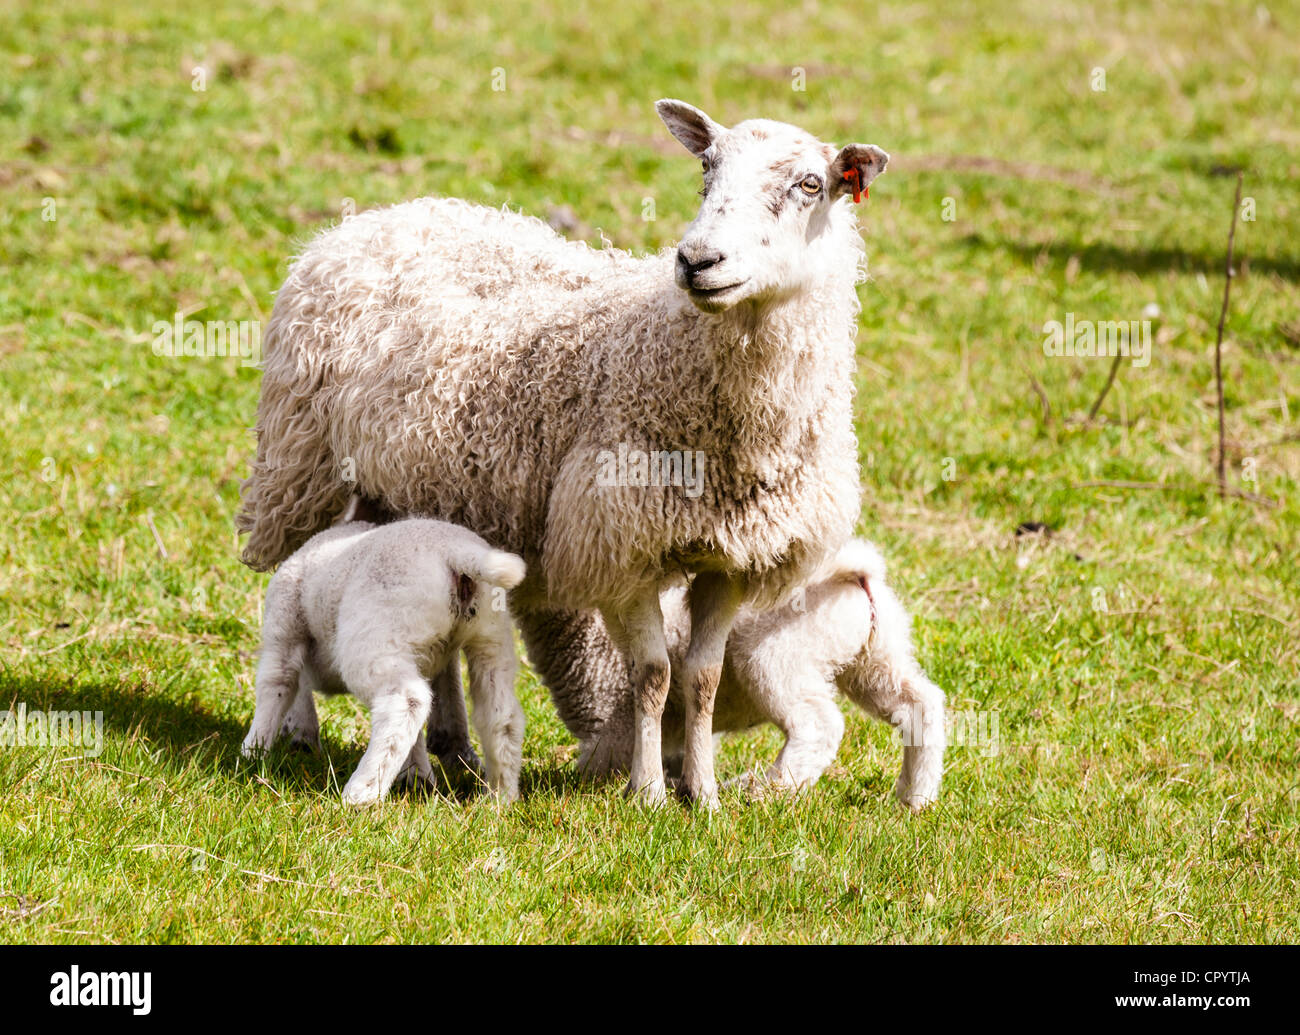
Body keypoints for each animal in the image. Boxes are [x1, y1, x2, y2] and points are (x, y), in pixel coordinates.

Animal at [240, 516, 527, 805]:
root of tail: (458, 554)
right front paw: (418, 776)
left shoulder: (284, 626)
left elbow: (277, 684)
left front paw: (253, 750)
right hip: (491, 636)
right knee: (500, 714)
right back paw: (500, 795)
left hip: (377, 633)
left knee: (406, 702)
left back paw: (362, 791)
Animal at [522, 539, 946, 808]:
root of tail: (855, 577)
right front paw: (683, 783)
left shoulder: (614, 734)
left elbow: (598, 769)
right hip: (876, 657)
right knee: (920, 705)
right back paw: (915, 797)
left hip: (776, 660)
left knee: (819, 725)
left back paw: (760, 789)